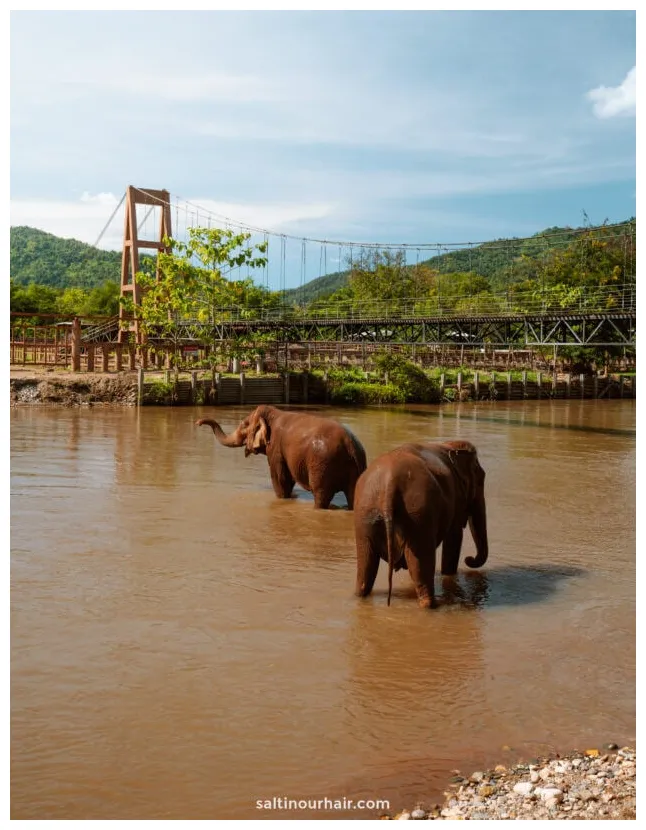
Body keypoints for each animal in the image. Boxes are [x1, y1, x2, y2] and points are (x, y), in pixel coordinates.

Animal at [196, 405, 367, 509]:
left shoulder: (276, 449)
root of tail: (350, 445)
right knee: (353, 496)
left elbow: (280, 479)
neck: (274, 412)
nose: (198, 423)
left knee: (321, 495)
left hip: (323, 466)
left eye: (244, 425)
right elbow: (288, 480)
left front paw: (282, 498)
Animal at [353, 440, 488, 608]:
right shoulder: (456, 498)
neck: (450, 445)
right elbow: (454, 537)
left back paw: (360, 595)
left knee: (365, 566)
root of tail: (389, 483)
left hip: (365, 514)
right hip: (419, 515)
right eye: (481, 480)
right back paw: (432, 605)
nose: (469, 559)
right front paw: (448, 574)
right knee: (422, 560)